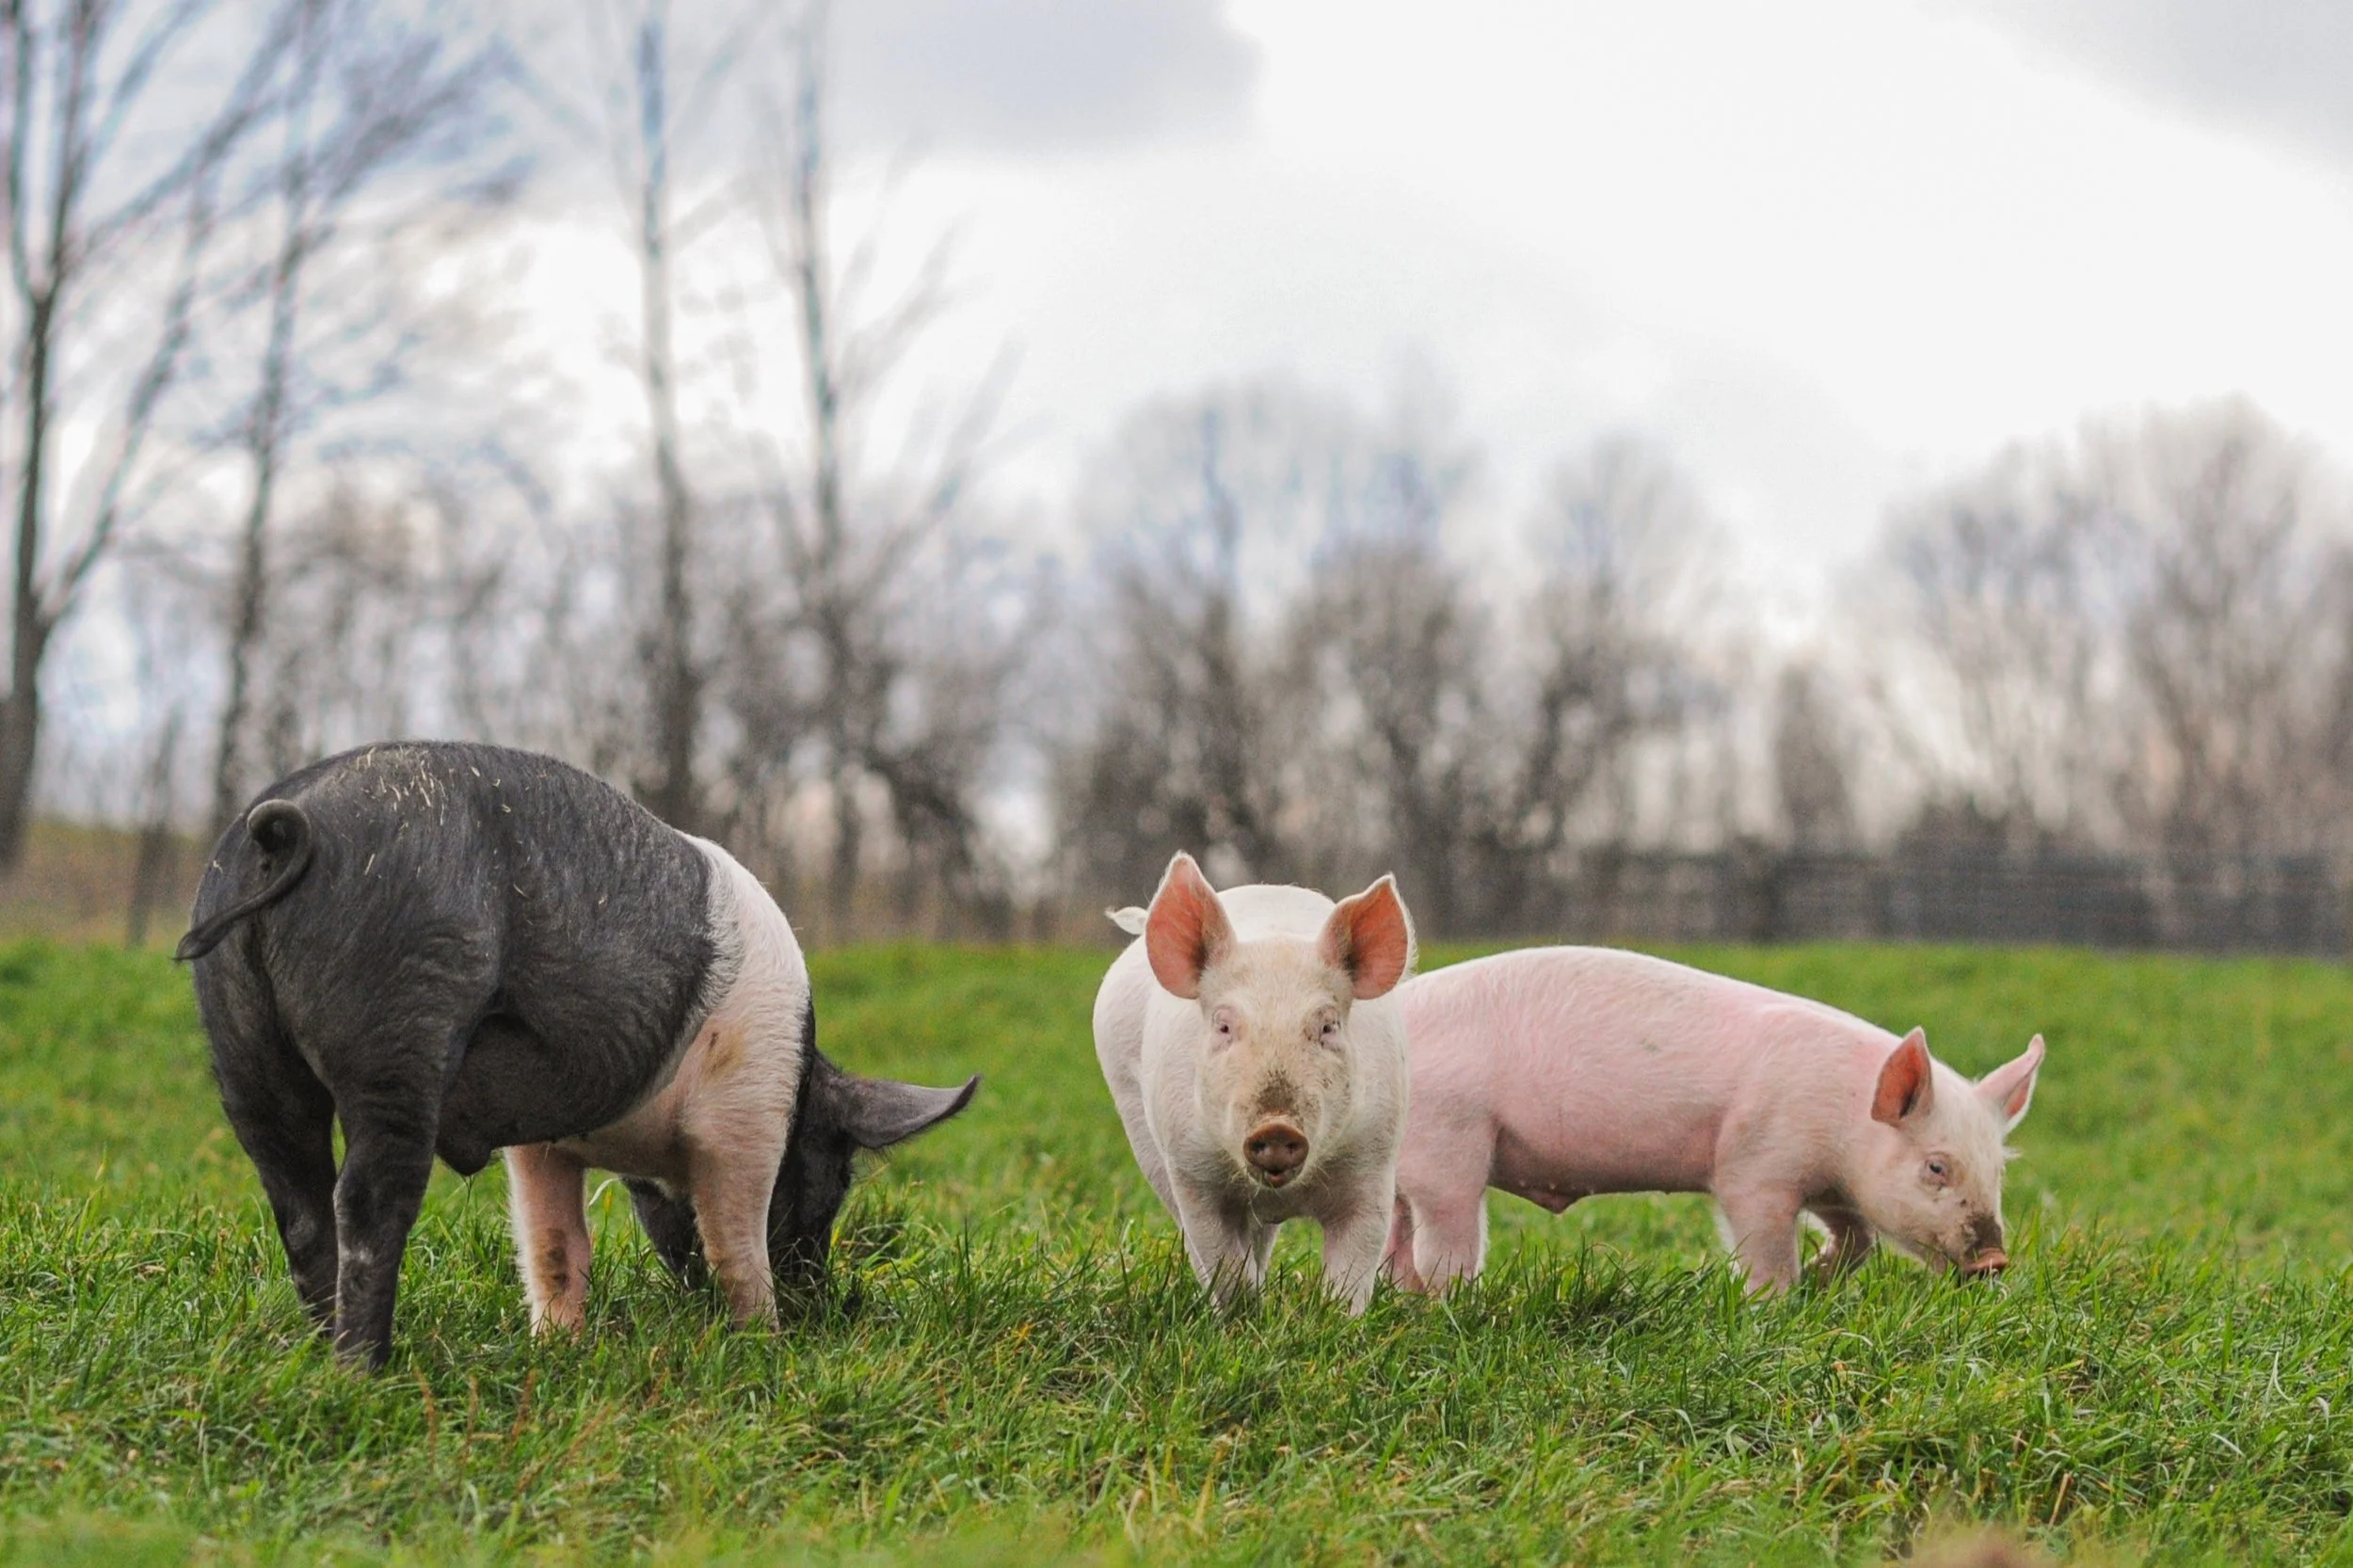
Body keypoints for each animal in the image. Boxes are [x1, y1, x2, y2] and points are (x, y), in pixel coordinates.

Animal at [178, 740, 978, 1367]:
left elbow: (556, 1248)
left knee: (299, 1203)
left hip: (241, 1044)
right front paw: (765, 1341)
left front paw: (559, 1348)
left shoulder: (543, 1147)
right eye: (834, 1180)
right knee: (368, 1201)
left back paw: (322, 1352)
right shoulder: (744, 1114)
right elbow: (734, 1243)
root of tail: (288, 829)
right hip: (401, 1026)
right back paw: (367, 1367)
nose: (822, 1306)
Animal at [1093, 852, 1415, 1313]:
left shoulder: (1373, 1164)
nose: (1277, 1127)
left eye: (1328, 1026)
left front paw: (1337, 1321)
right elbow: (1223, 1263)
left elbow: (1353, 1269)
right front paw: (1243, 1317)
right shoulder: (1193, 1173)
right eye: (1224, 1026)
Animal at [1382, 946, 2045, 1295]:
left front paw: (1823, 1278)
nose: (1995, 1260)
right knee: (1441, 1244)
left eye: (1998, 1173)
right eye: (1936, 1167)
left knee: (1398, 1238)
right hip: (1449, 1143)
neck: (1843, 1125)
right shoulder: (1756, 1168)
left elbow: (1859, 1237)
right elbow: (1766, 1245)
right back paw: (1461, 1306)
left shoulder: (1833, 1186)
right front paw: (1778, 1303)